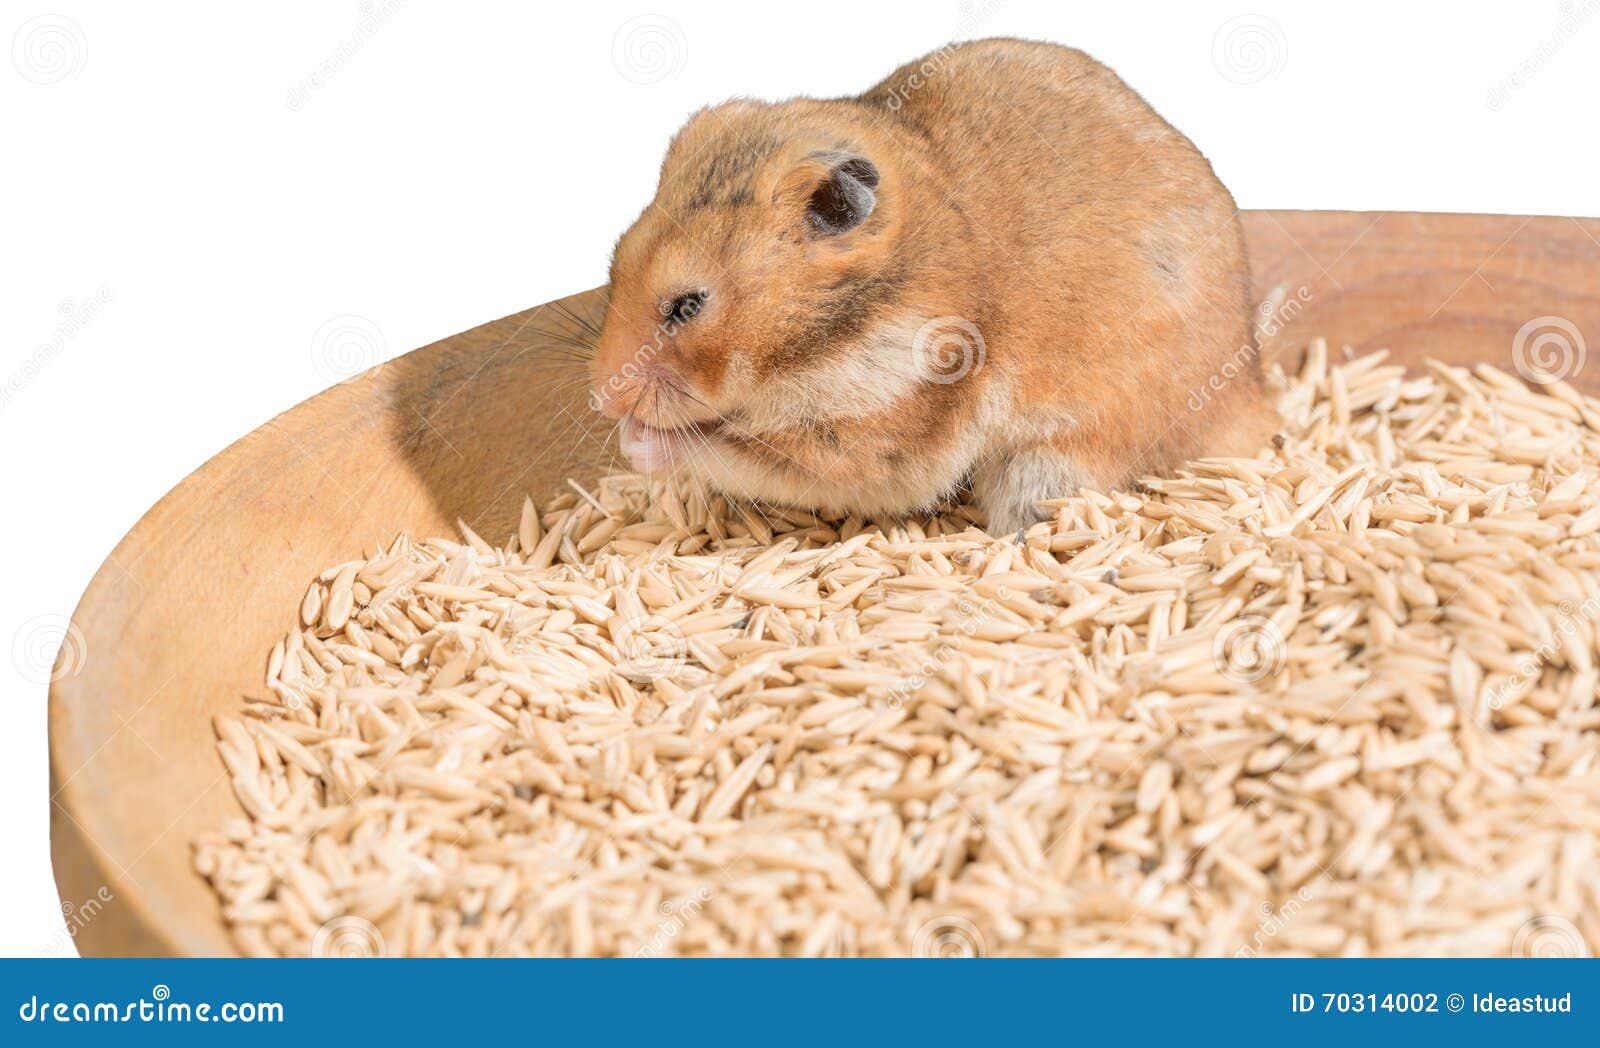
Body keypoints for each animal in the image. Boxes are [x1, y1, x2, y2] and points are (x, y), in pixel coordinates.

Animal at [590, 37, 1276, 534]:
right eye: (614, 260)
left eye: (688, 305)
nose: (602, 399)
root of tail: (1254, 400)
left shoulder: (874, 441)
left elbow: (724, 449)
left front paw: (636, 440)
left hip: (1055, 460)